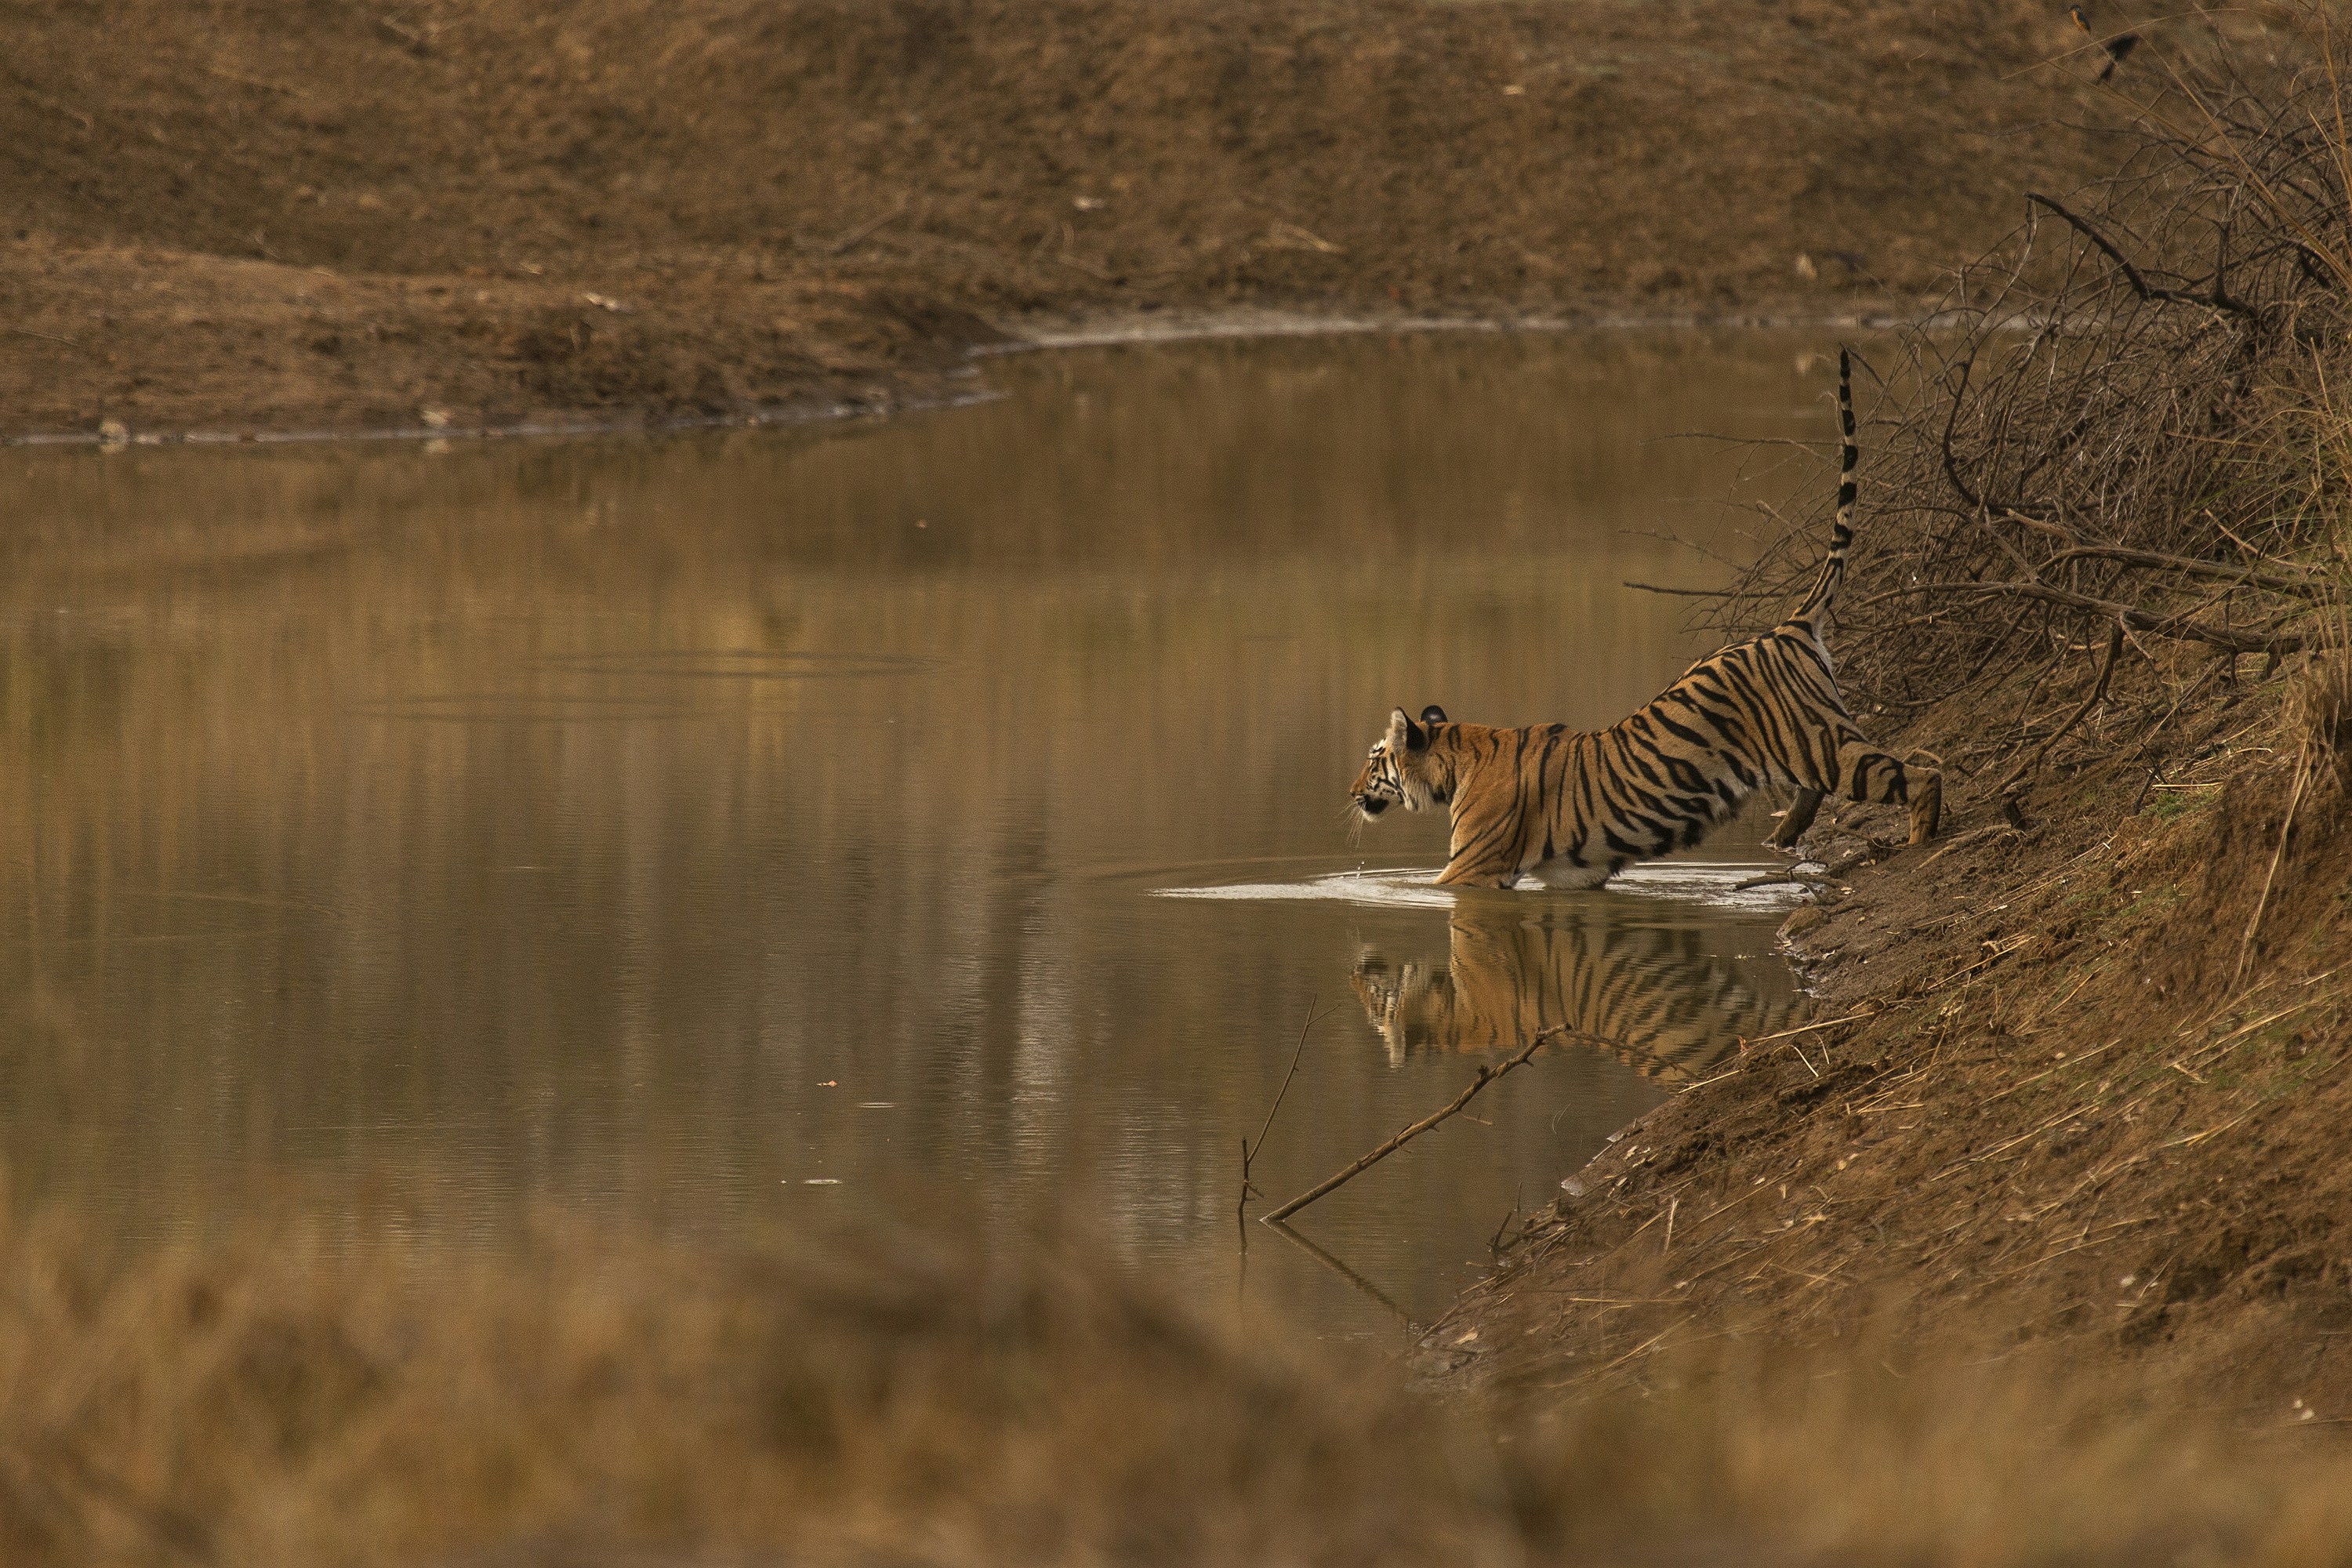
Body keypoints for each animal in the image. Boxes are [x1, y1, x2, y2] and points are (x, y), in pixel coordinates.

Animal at [1347, 347, 1940, 888]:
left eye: (1375, 760)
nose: (1351, 793)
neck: (1454, 762)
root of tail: (1786, 626)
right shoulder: (1575, 877)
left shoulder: (1471, 870)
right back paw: (1786, 835)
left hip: (1820, 742)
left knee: (1920, 774)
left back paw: (1919, 842)